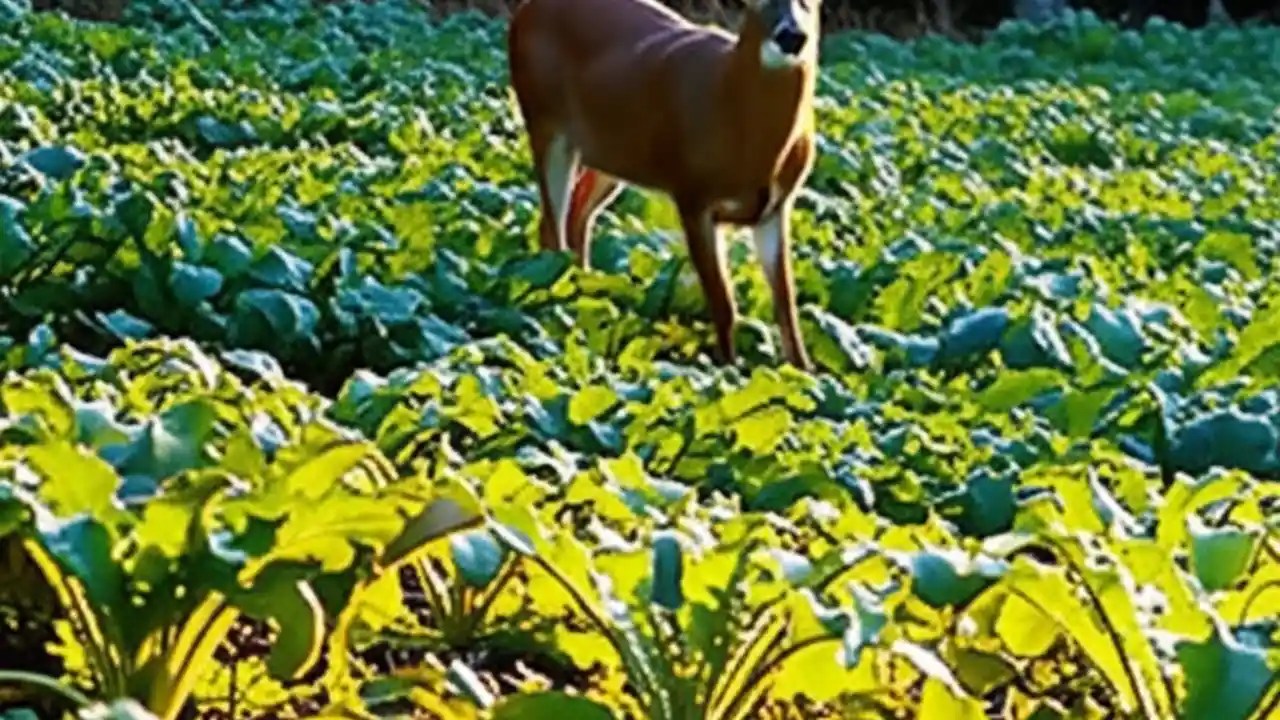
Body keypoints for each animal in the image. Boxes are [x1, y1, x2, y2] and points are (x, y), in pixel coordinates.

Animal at [506, 0, 820, 370]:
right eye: (753, 4)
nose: (792, 36)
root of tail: (525, 11)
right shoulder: (693, 194)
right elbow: (723, 301)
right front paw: (728, 369)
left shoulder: (775, 208)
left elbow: (786, 302)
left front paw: (806, 371)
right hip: (545, 122)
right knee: (552, 227)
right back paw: (559, 305)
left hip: (612, 155)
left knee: (573, 216)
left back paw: (588, 292)